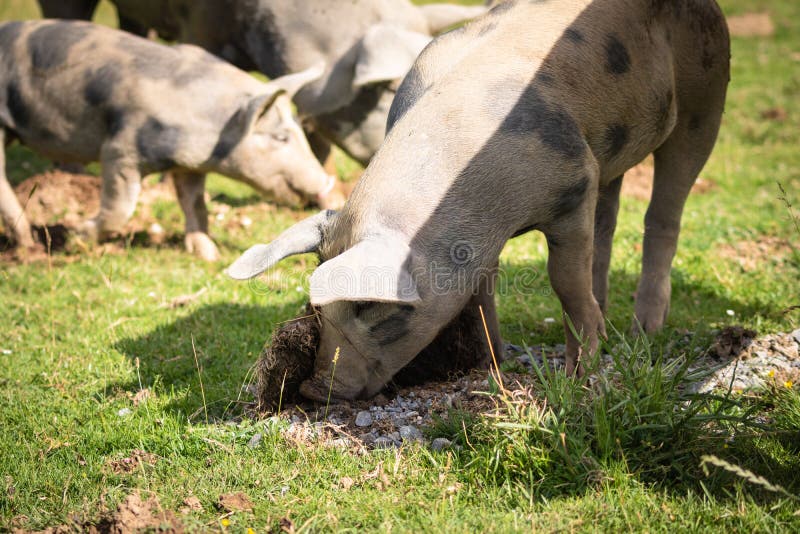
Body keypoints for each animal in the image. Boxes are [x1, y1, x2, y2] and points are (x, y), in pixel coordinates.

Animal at [0, 20, 345, 260]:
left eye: (298, 131)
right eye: (280, 137)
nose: (327, 184)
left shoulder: (189, 167)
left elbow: (195, 205)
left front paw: (209, 255)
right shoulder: (119, 150)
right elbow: (119, 209)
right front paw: (76, 238)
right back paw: (28, 244)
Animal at [227, 0, 730, 400]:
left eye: (368, 307)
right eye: (319, 310)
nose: (314, 389)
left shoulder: (574, 187)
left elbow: (565, 284)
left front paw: (576, 380)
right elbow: (484, 291)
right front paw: (492, 365)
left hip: (706, 94)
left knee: (664, 213)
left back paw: (645, 330)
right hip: (613, 148)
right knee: (608, 221)